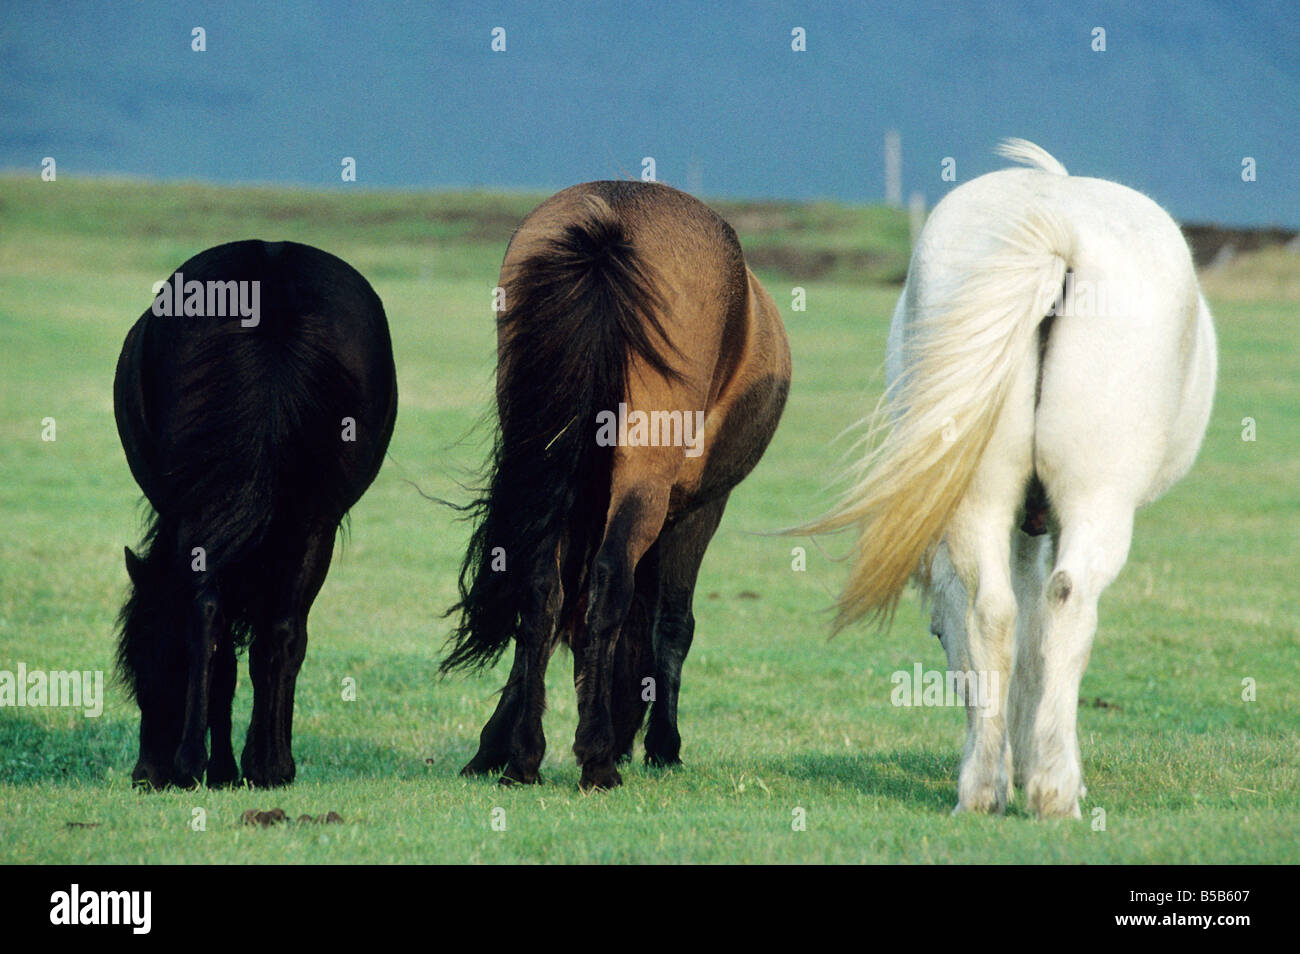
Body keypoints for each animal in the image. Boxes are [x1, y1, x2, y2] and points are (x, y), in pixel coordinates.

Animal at [114, 239, 398, 788]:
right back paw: (262, 763)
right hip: (312, 520)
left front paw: (222, 764)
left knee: (211, 617)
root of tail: (272, 268)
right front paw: (253, 762)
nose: (144, 774)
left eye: (144, 656)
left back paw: (203, 763)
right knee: (274, 629)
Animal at [441, 180, 791, 790]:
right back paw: (598, 760)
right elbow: (672, 623)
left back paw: (526, 760)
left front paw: (494, 747)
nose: (628, 743)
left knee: (540, 585)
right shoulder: (701, 510)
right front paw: (663, 747)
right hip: (647, 480)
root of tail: (611, 221)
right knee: (610, 582)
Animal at [805, 140, 1217, 818]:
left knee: (995, 610)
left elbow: (1021, 629)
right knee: (1068, 601)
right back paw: (1054, 791)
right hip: (1098, 498)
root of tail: (1057, 231)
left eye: (934, 630)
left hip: (982, 493)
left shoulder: (1023, 520)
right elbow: (1039, 632)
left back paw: (981, 789)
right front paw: (1031, 764)